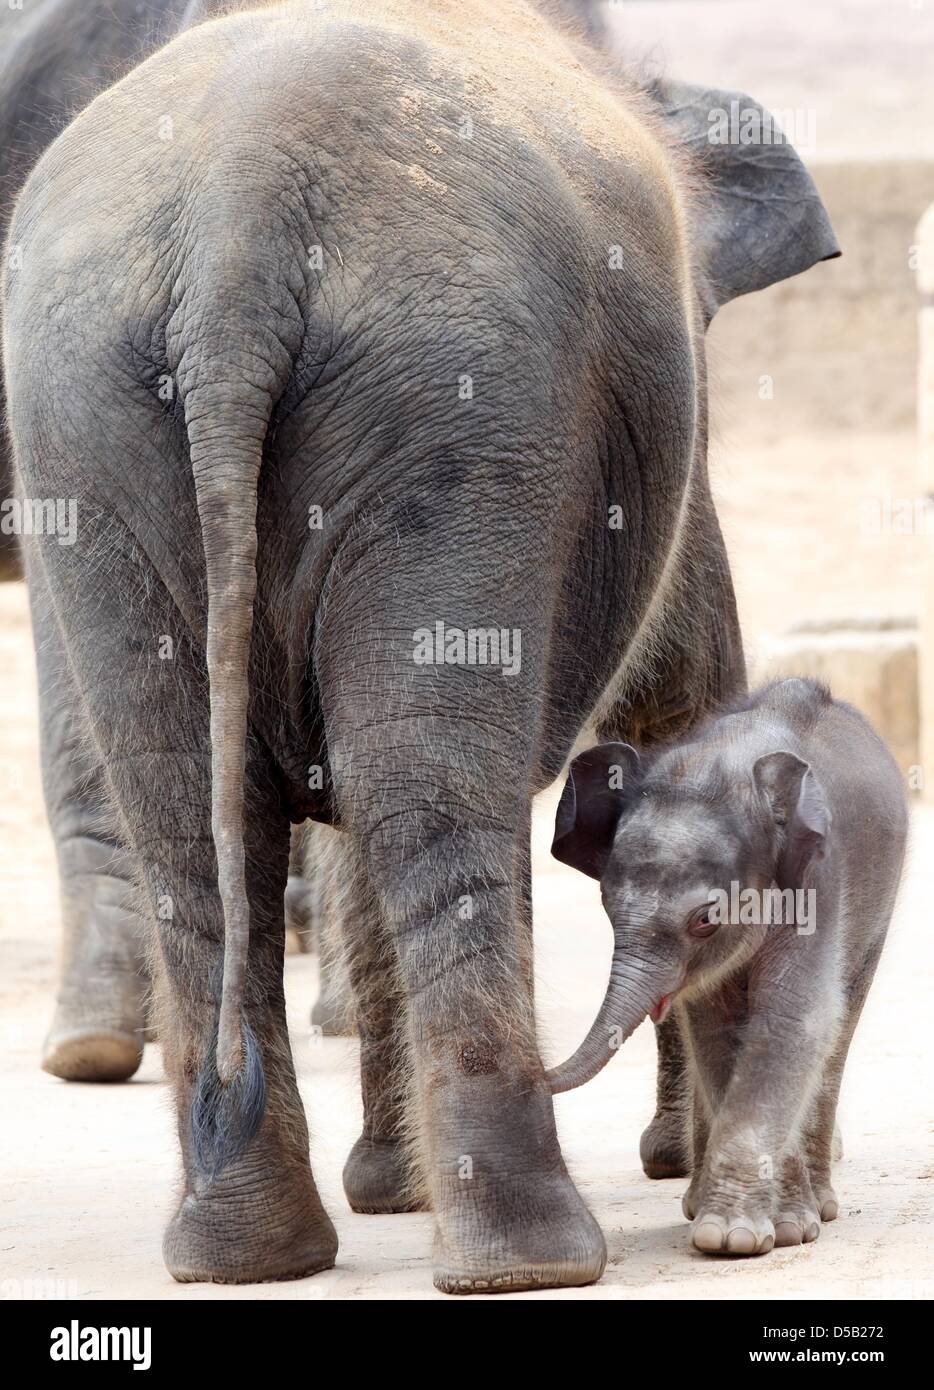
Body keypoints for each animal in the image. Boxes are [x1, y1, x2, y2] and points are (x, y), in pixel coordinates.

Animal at [3, 0, 838, 1292]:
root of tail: (239, 219)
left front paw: (393, 1193)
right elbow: (678, 703)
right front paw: (700, 1191)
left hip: (92, 419)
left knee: (202, 816)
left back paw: (250, 1249)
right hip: (450, 410)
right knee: (433, 797)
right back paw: (530, 1259)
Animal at [549, 677, 907, 1256]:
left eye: (705, 920)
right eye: (605, 902)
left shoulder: (817, 879)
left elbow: (793, 1021)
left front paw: (739, 1237)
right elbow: (718, 1031)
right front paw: (766, 1227)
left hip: (879, 903)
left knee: (839, 1025)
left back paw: (823, 1206)